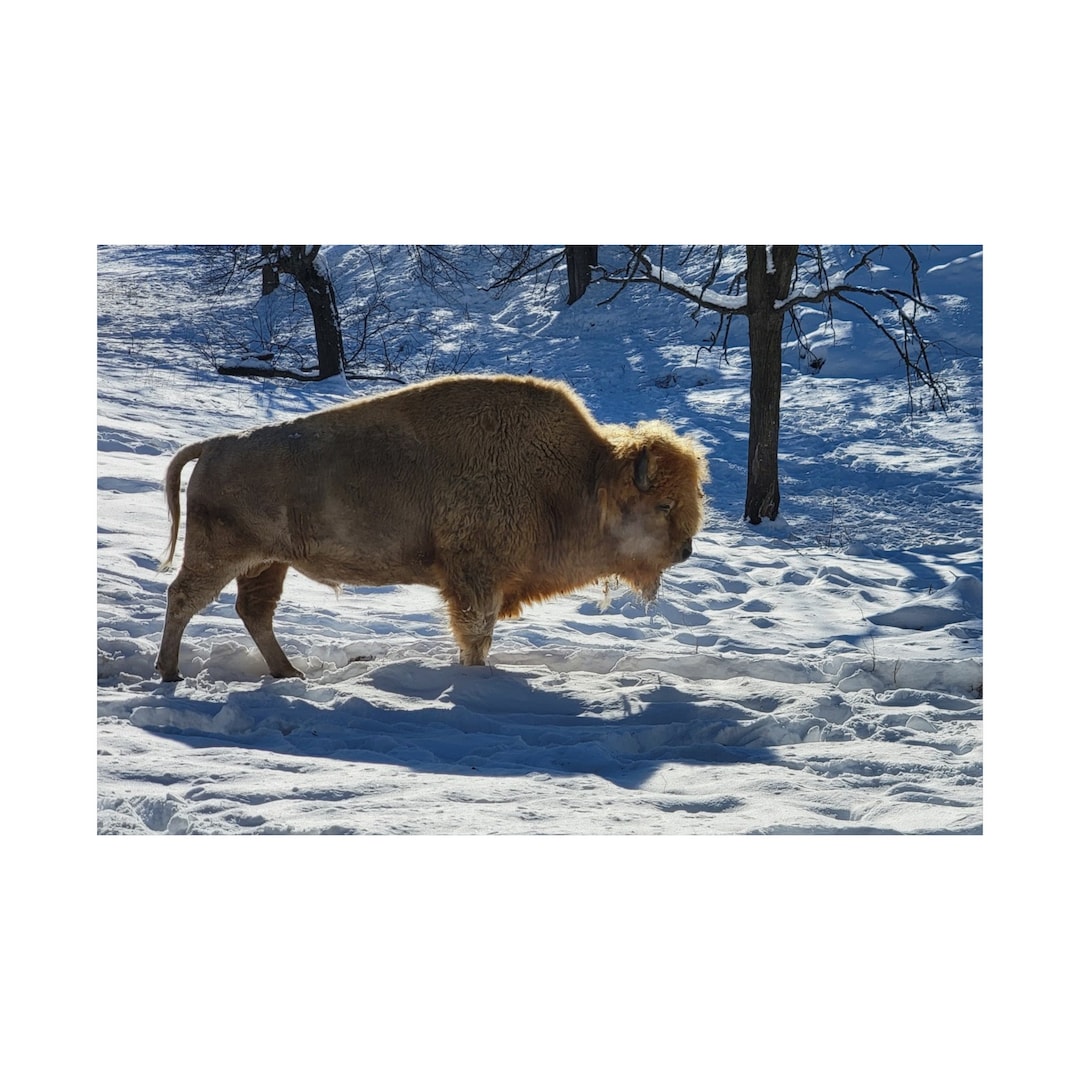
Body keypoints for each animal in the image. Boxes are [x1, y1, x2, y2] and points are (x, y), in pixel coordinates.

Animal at [154, 374, 708, 680]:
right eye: (662, 504)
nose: (685, 550)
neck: (577, 477)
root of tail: (213, 446)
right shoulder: (475, 579)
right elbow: (476, 633)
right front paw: (476, 675)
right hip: (218, 555)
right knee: (183, 598)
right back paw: (169, 673)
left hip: (268, 563)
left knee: (254, 612)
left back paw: (287, 673)